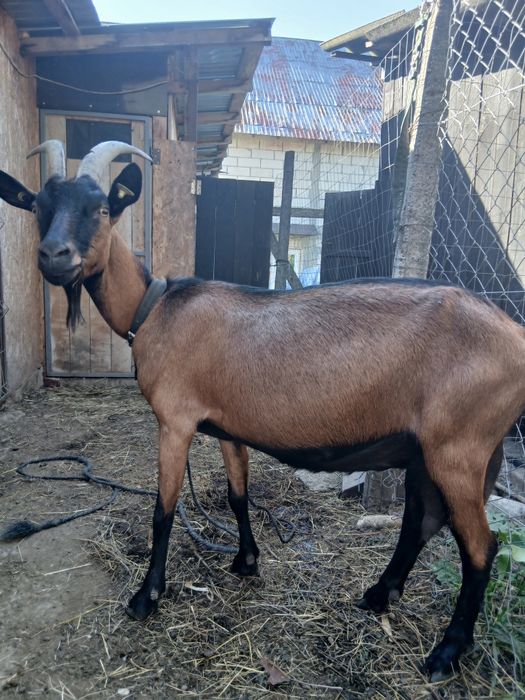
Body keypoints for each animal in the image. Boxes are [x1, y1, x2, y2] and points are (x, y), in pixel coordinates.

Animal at [1, 140, 524, 682]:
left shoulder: (175, 421)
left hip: (459, 447)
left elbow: (164, 511)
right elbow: (238, 496)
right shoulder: (228, 425)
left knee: (480, 547)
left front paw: (146, 597)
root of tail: (516, 337)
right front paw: (247, 561)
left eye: (102, 209)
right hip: (428, 449)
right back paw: (379, 595)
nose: (54, 255)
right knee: (421, 521)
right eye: (38, 208)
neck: (154, 308)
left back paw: (445, 653)